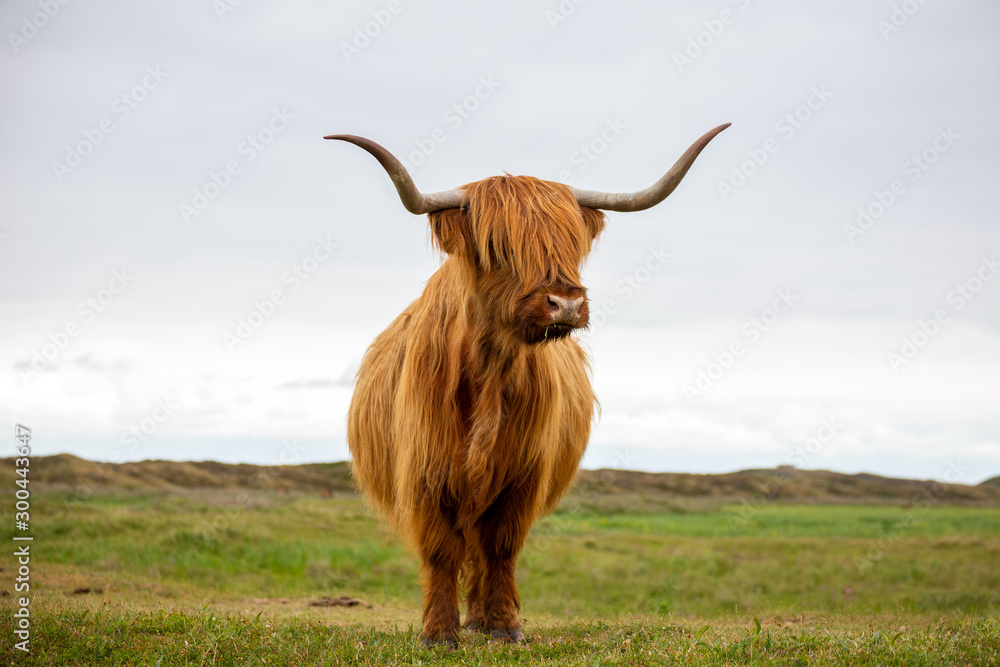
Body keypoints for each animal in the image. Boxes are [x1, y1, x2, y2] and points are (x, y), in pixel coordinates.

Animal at [326, 123, 729, 647]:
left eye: (573, 242)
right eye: (499, 246)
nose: (565, 304)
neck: (489, 370)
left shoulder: (522, 474)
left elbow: (499, 547)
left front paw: (502, 626)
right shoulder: (426, 470)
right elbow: (440, 550)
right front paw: (439, 633)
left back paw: (479, 619)